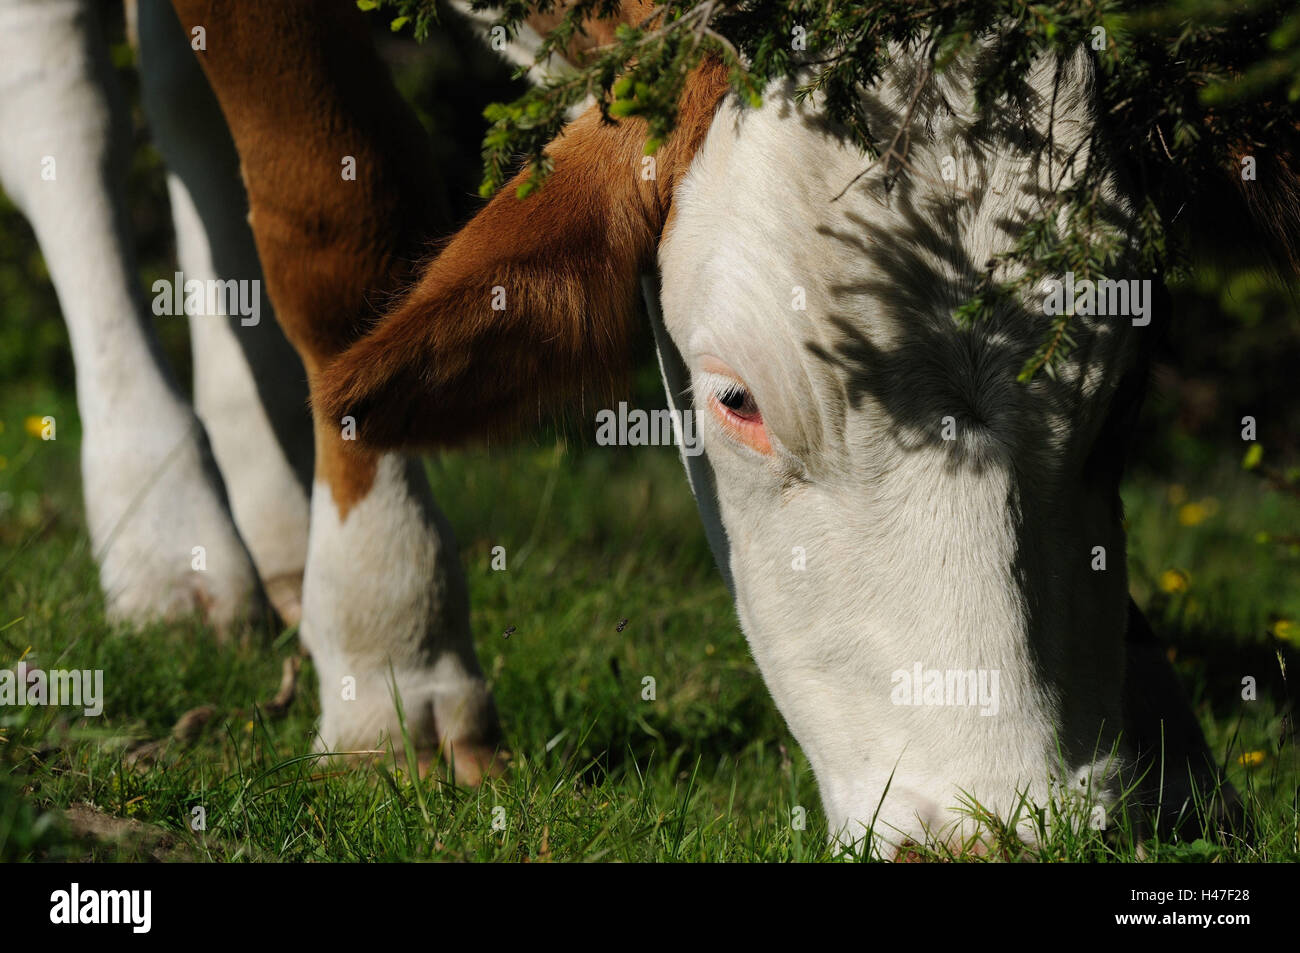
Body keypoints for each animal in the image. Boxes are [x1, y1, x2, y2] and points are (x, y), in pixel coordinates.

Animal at [3, 0, 1281, 854]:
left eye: (1125, 393)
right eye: (737, 399)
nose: (993, 828)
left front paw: (1170, 748)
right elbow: (335, 216)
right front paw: (389, 651)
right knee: (68, 101)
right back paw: (168, 543)